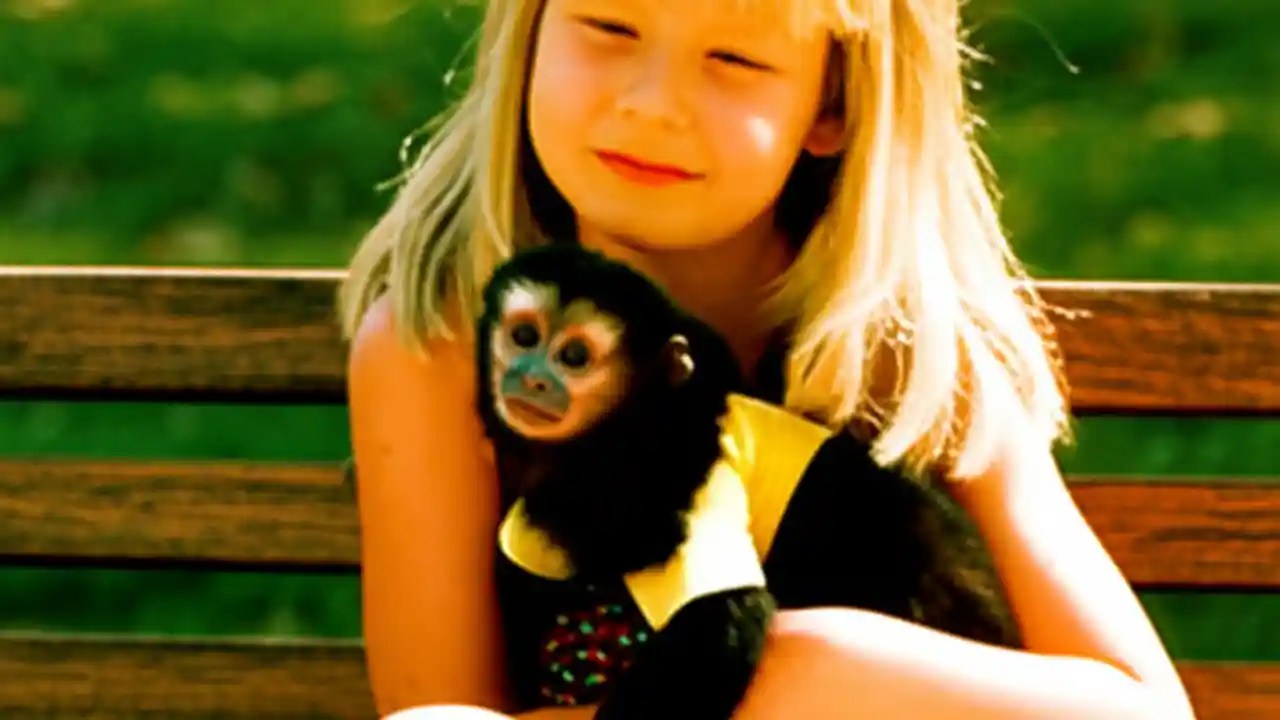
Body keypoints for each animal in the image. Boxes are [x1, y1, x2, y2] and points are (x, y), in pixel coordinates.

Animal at [477, 243, 1021, 720]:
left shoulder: (682, 484)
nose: (531, 378)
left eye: (573, 356)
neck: (626, 435)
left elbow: (726, 613)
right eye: (523, 337)